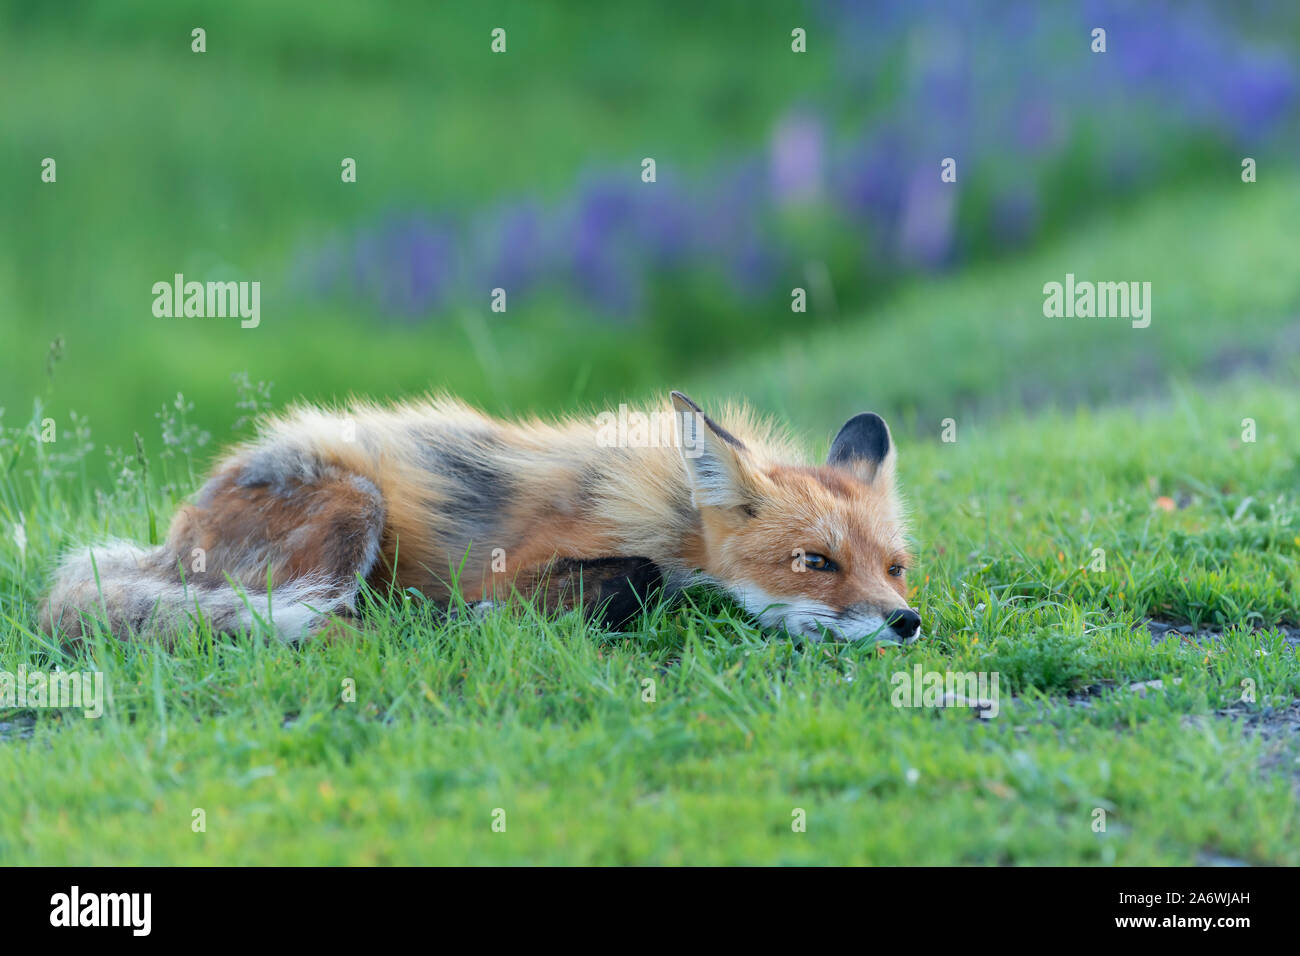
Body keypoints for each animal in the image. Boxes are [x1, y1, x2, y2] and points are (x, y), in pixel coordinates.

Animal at [40, 391, 920, 645]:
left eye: (895, 568)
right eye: (815, 562)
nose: (906, 621)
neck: (673, 517)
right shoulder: (519, 568)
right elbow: (633, 579)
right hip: (353, 507)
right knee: (296, 618)